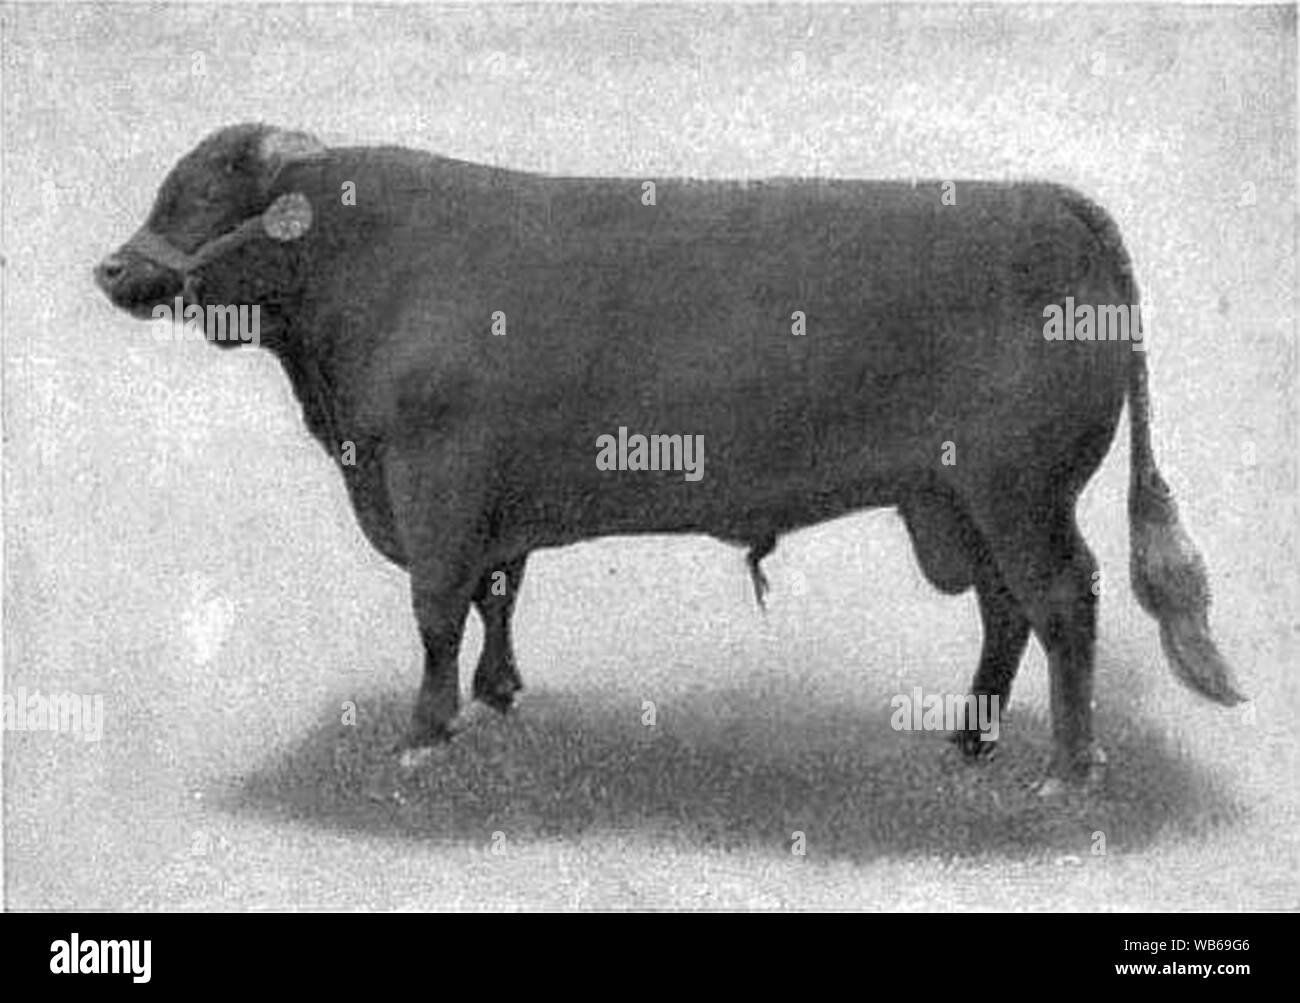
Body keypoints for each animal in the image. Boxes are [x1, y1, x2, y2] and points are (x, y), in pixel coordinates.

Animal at [95, 123, 1243, 791]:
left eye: (199, 196)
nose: (110, 270)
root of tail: (1051, 196)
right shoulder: (492, 499)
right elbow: (497, 594)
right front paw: (500, 694)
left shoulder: (433, 484)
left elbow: (434, 608)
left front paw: (426, 730)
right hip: (956, 495)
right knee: (1007, 609)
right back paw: (969, 737)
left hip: (1021, 491)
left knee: (1064, 598)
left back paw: (1069, 770)